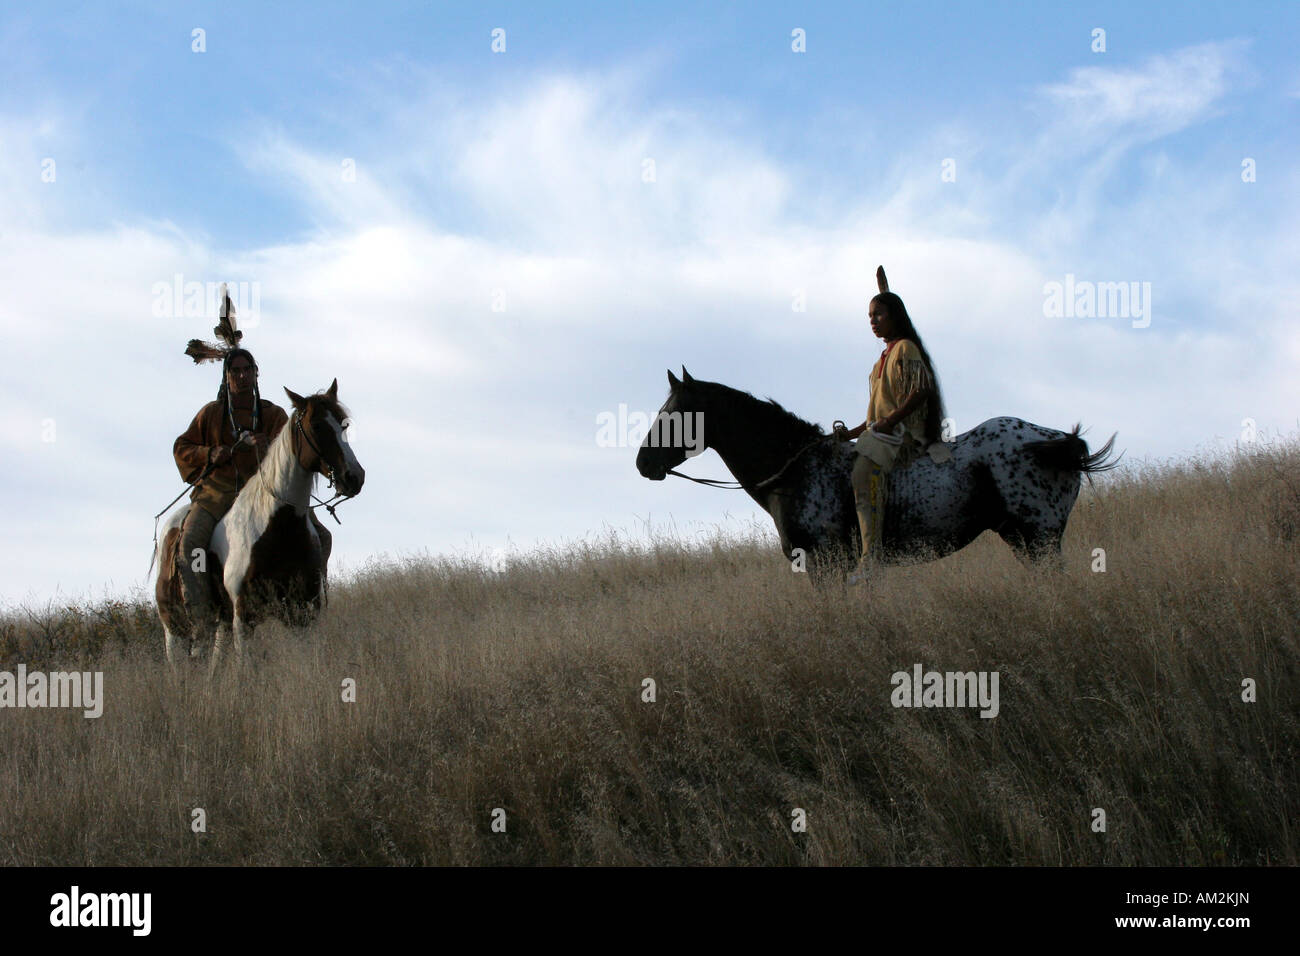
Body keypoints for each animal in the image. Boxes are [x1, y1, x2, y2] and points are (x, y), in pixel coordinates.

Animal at [154, 380, 365, 671]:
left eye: (343, 425)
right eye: (316, 426)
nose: (354, 477)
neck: (277, 527)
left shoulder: (303, 612)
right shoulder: (245, 615)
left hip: (221, 622)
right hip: (174, 626)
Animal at [635, 368, 1118, 581]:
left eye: (674, 415)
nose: (643, 463)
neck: (797, 471)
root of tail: (1054, 440)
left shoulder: (827, 565)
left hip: (1039, 538)